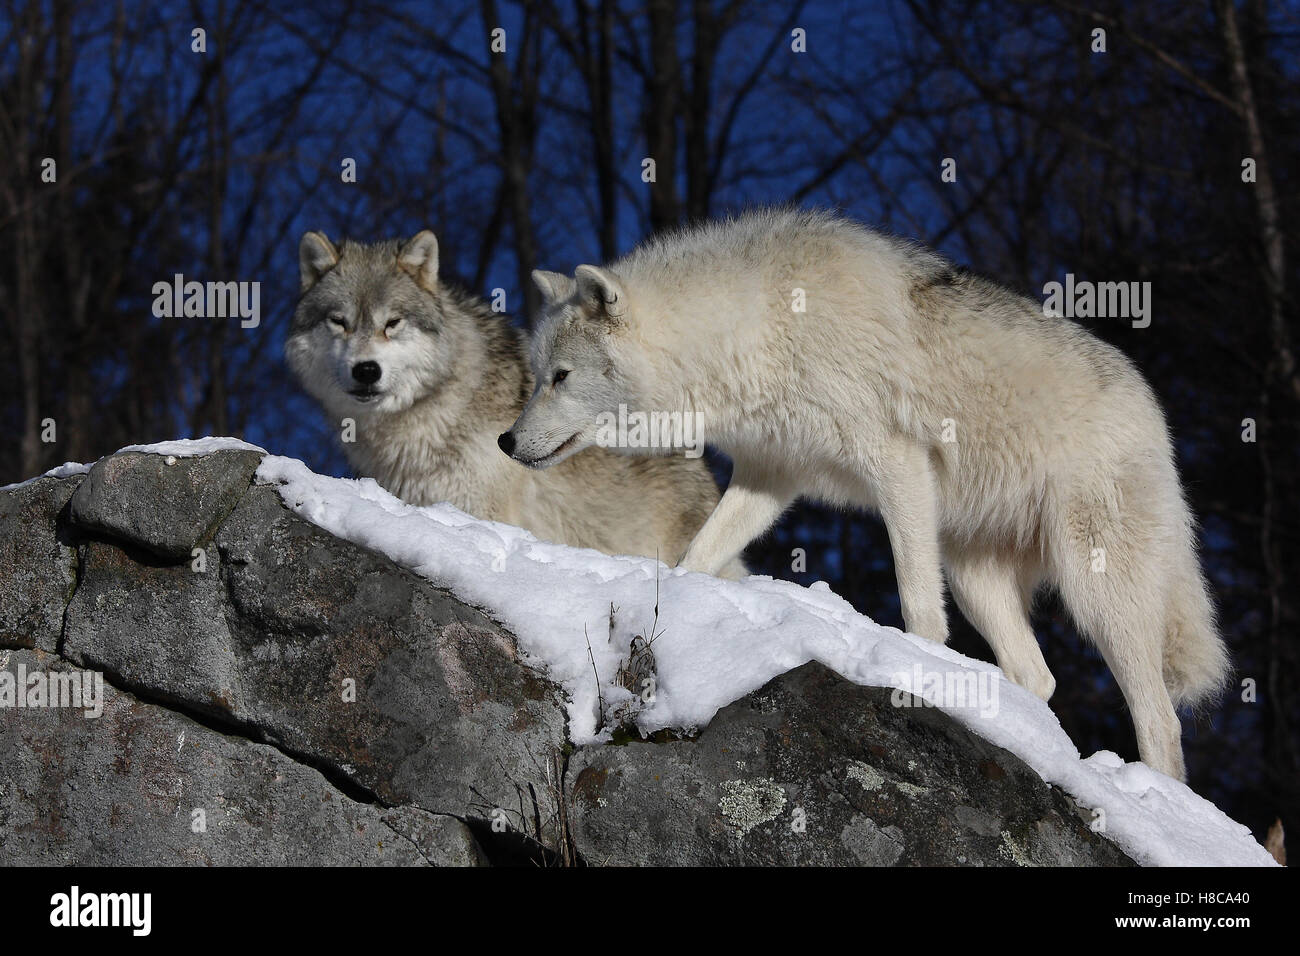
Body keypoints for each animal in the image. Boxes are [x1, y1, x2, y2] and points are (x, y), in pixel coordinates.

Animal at [501, 207, 1228, 780]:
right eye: (537, 374)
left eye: (561, 377)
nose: (506, 441)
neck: (759, 327)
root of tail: (1154, 412)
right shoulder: (771, 476)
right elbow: (698, 556)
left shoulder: (897, 466)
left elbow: (918, 607)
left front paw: (920, 674)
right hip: (975, 575)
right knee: (1039, 677)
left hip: (1095, 588)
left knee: (1161, 721)